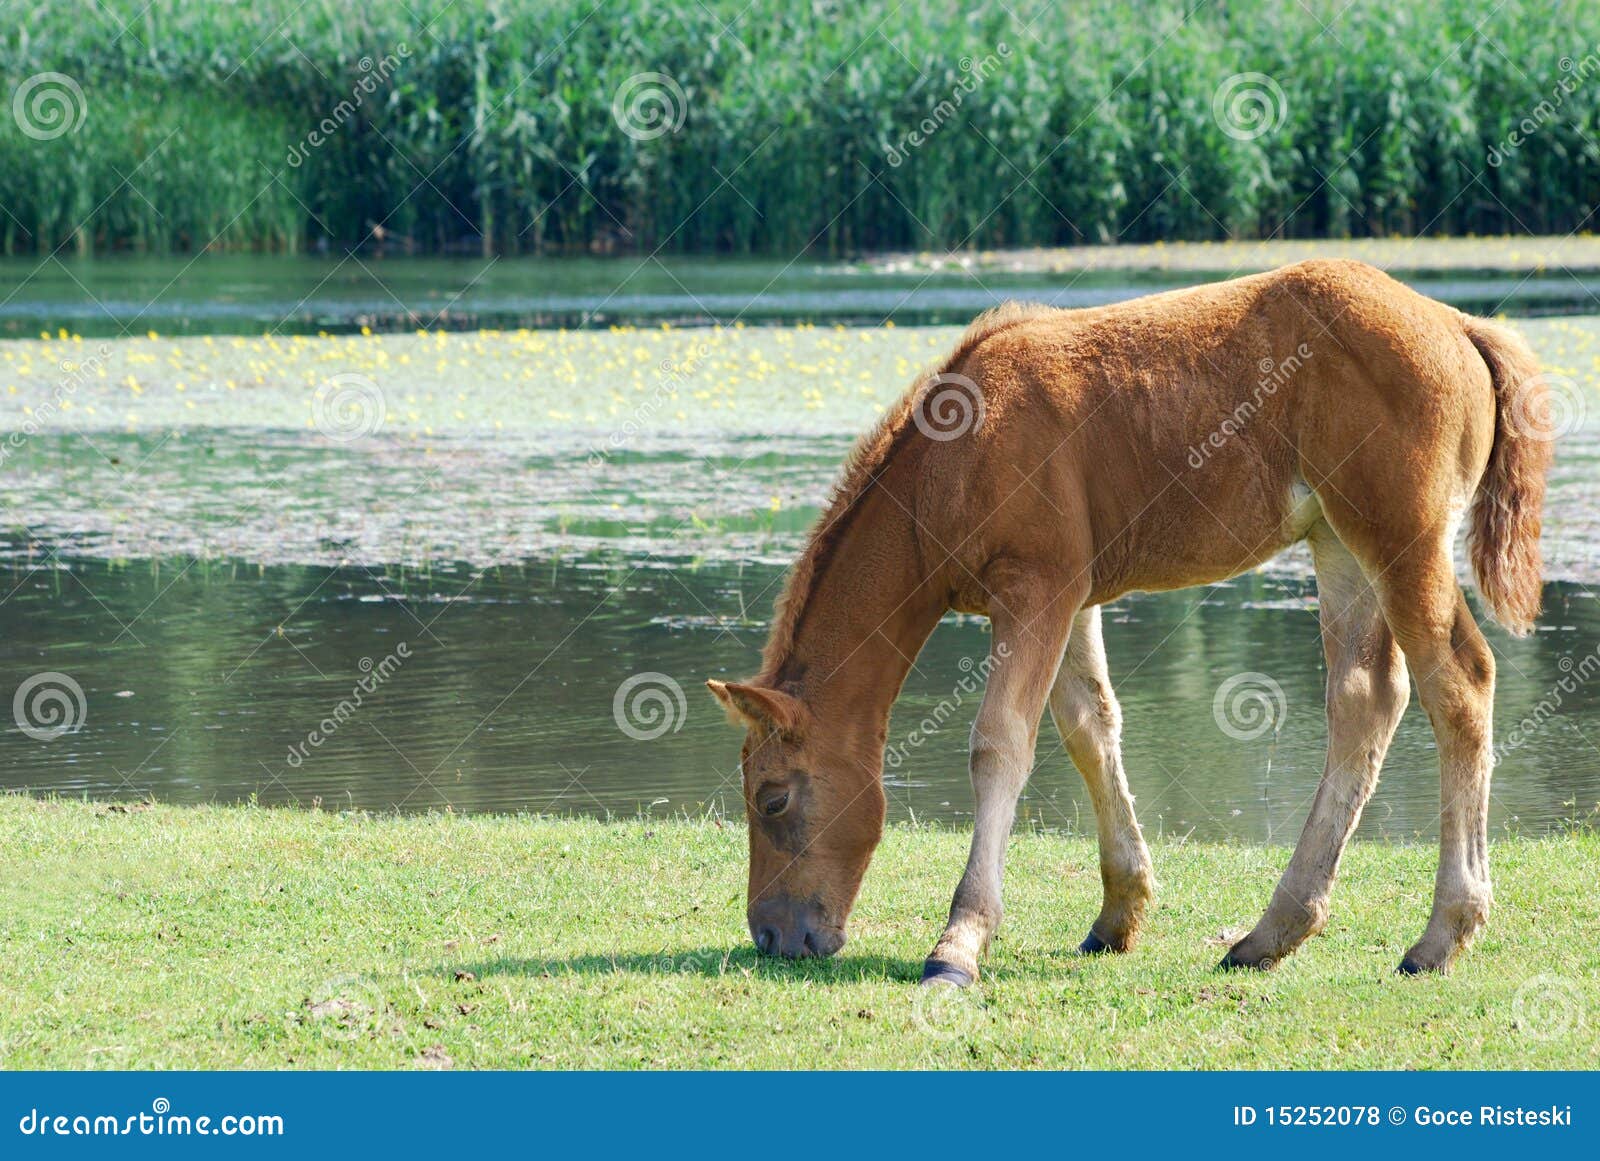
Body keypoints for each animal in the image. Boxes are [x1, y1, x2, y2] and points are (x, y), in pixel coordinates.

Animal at [707, 259, 1551, 986]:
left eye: (773, 798)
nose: (773, 934)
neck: (951, 462)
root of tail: (1458, 324)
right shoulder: (1071, 596)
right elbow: (1090, 728)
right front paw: (1118, 914)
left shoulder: (1036, 589)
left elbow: (999, 745)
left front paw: (959, 944)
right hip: (1339, 544)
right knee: (1365, 699)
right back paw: (1271, 932)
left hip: (1400, 540)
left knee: (1460, 685)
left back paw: (1441, 934)